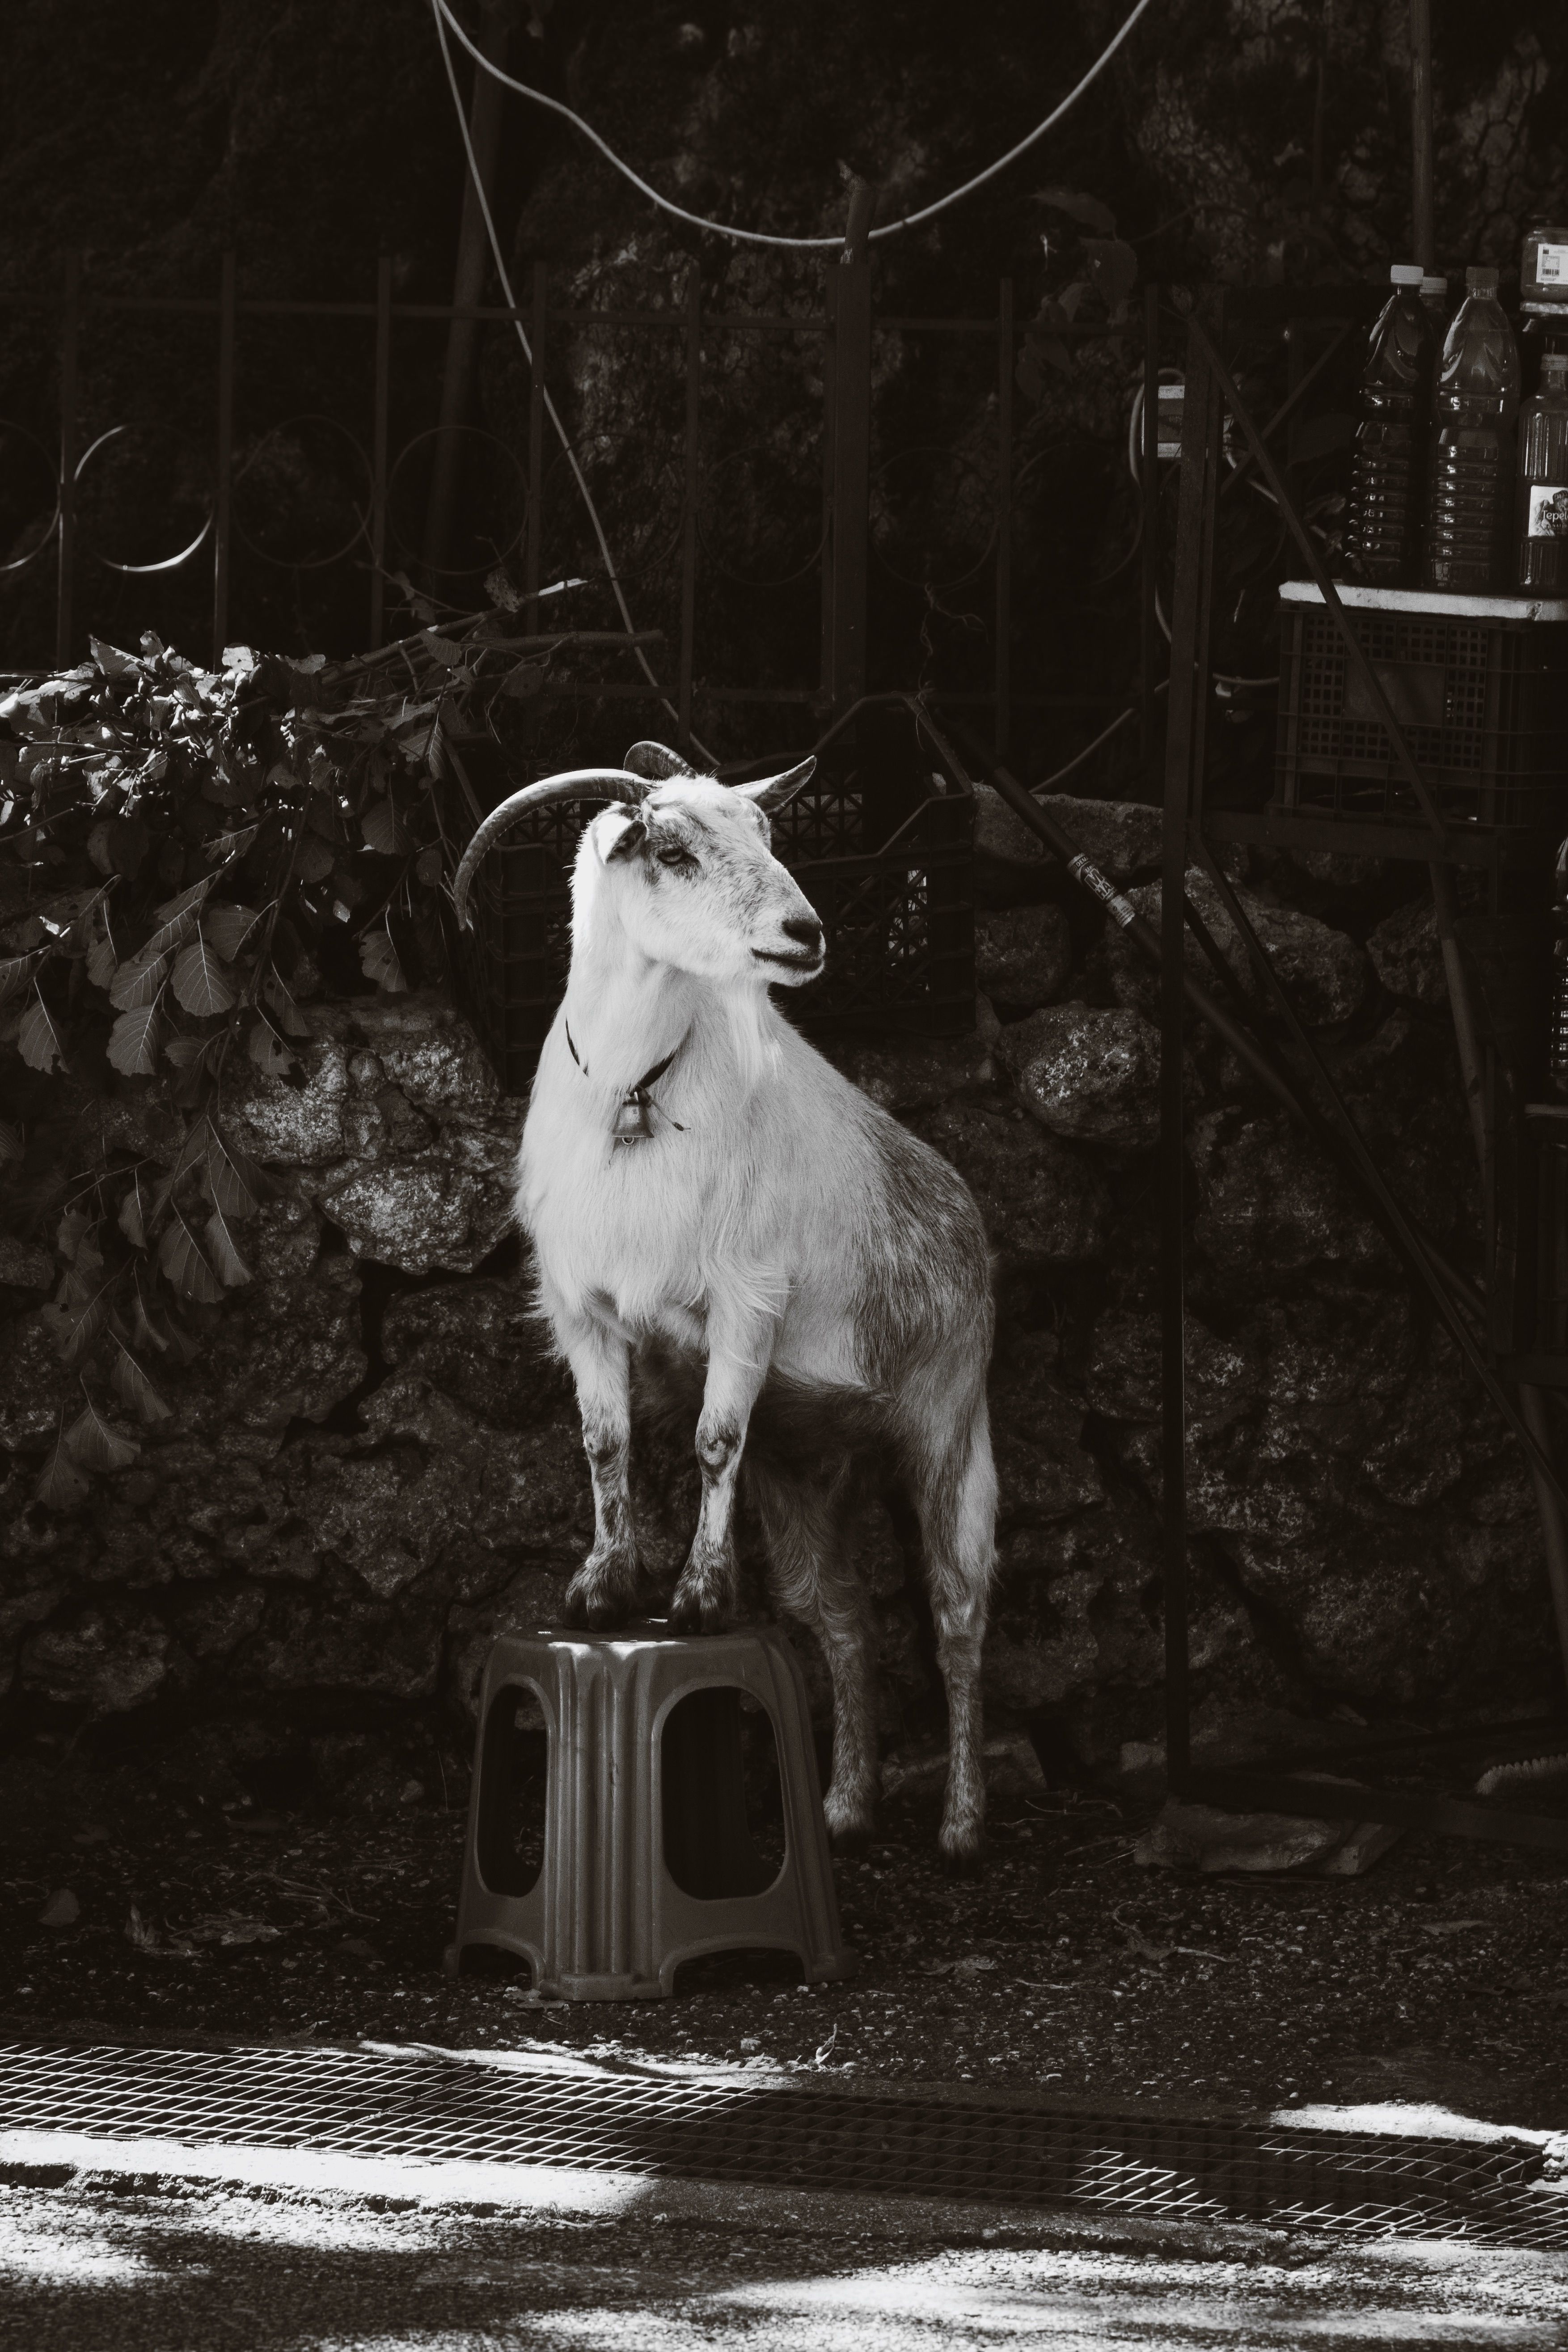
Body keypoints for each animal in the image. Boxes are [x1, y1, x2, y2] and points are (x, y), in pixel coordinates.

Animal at [453, 742, 998, 1866]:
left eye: (766, 834)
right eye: (671, 849)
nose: (806, 933)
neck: (636, 1094)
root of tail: (962, 1208)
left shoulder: (745, 1304)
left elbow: (709, 1442)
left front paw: (699, 1597)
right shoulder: (583, 1308)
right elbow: (604, 1441)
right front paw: (603, 1585)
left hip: (950, 1425)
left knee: (957, 1610)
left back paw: (963, 1824)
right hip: (804, 1465)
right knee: (841, 1616)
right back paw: (842, 1809)